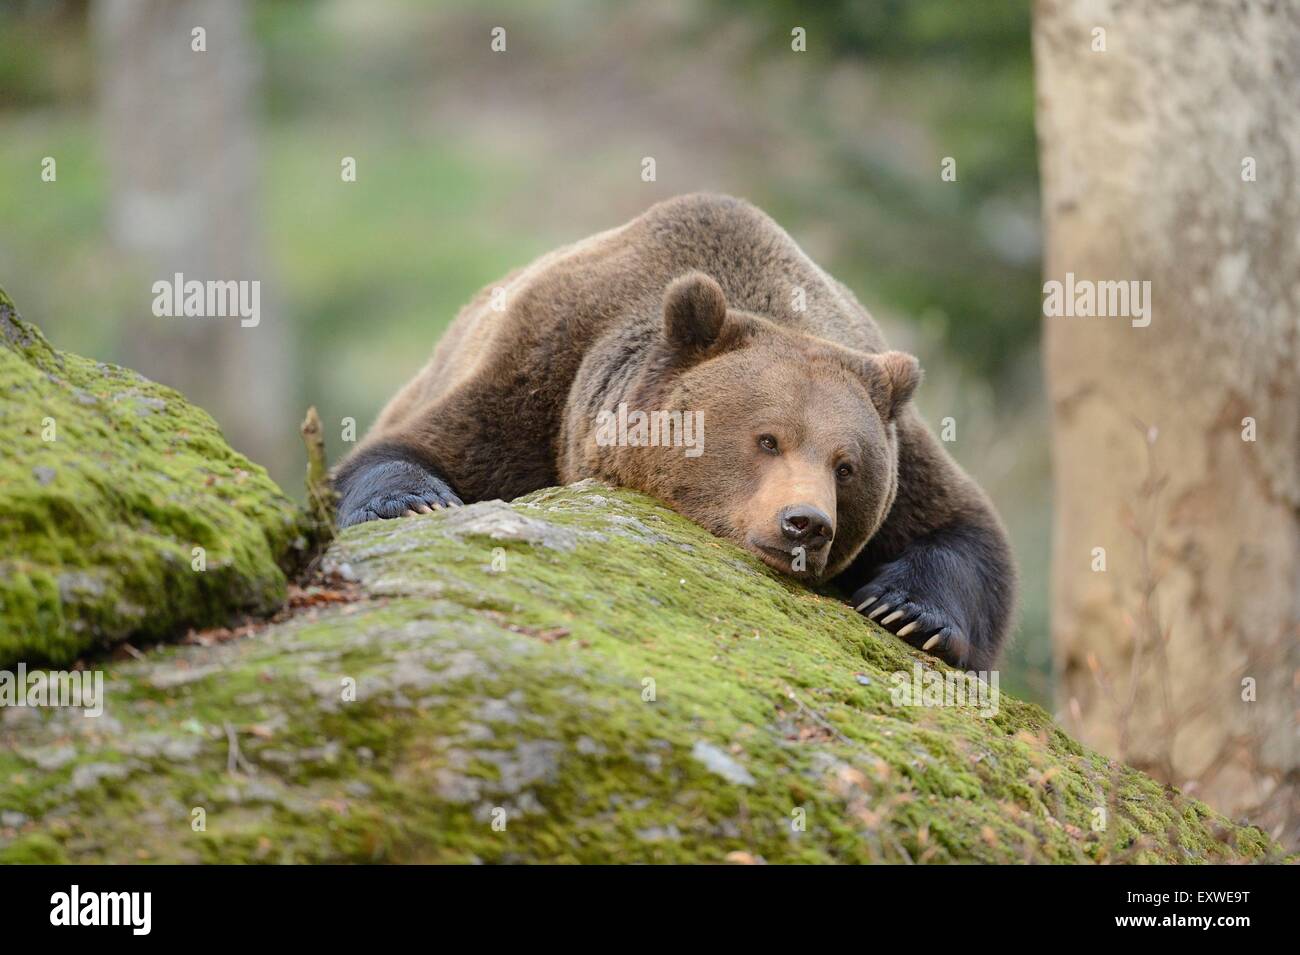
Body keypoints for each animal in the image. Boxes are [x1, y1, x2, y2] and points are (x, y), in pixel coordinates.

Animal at [334, 194, 1016, 669]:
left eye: (846, 467)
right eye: (768, 439)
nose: (806, 523)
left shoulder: (902, 444)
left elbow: (965, 530)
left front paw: (906, 613)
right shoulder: (541, 370)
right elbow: (422, 448)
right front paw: (414, 500)